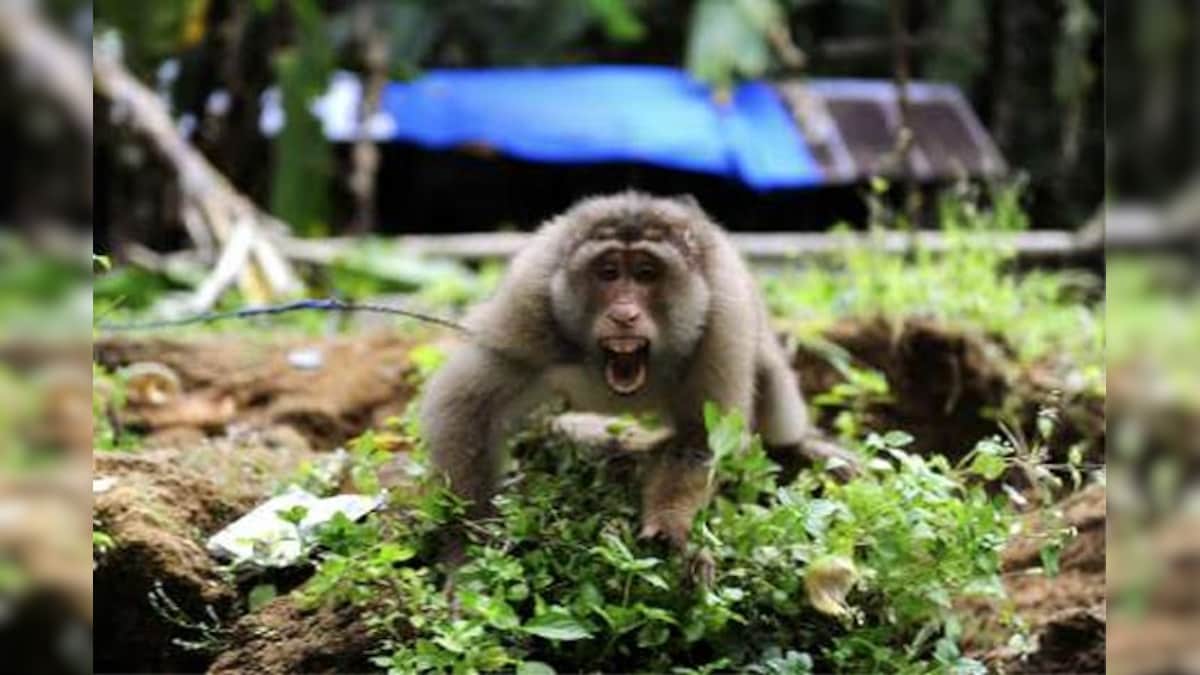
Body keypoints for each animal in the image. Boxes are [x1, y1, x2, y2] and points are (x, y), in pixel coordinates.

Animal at [420, 191, 856, 583]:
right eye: (608, 272)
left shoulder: (723, 319)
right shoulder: (527, 305)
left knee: (771, 384)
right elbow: (468, 407)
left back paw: (796, 447)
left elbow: (700, 437)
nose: (624, 314)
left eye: (647, 273)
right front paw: (465, 550)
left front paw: (670, 527)